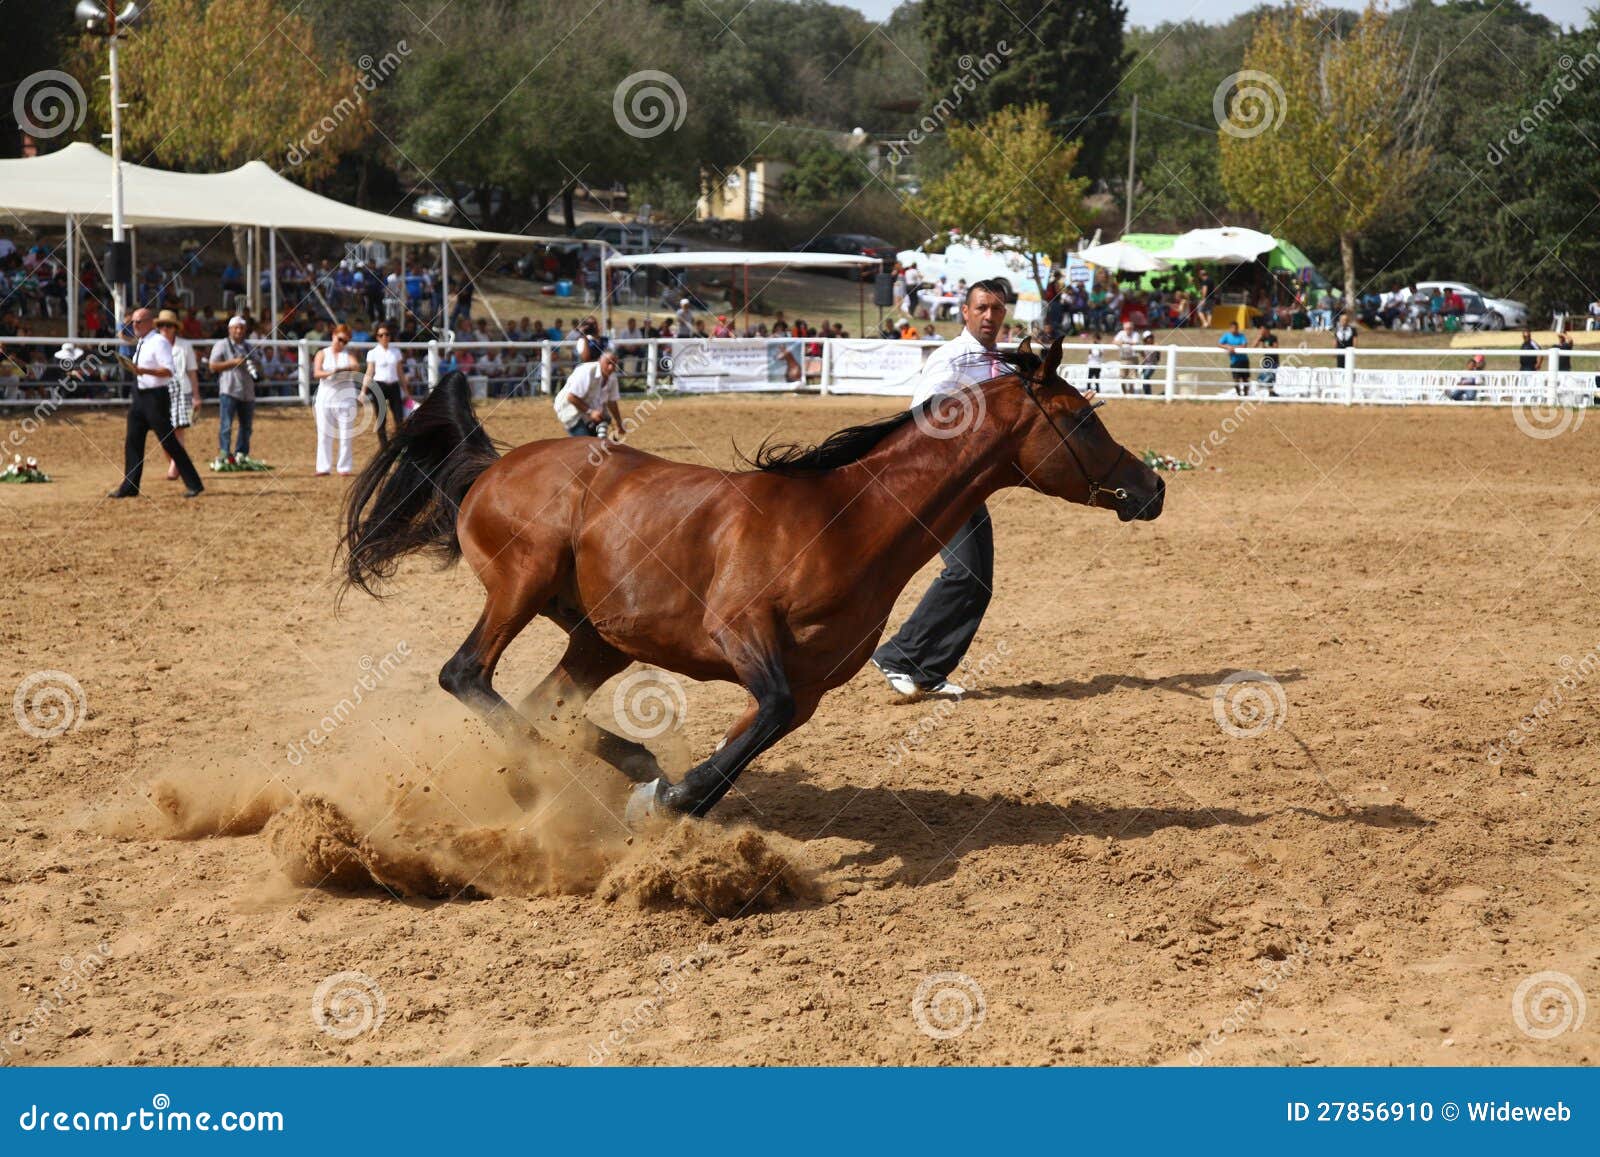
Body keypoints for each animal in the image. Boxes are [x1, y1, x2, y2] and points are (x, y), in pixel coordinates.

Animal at [340, 335, 1164, 822]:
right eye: (1081, 418)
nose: (1152, 486)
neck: (847, 519)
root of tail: (492, 465)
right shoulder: (742, 636)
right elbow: (760, 716)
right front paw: (666, 798)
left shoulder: (811, 686)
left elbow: (748, 742)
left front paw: (671, 796)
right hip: (521, 585)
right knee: (466, 675)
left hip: (601, 637)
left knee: (546, 703)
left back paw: (599, 767)